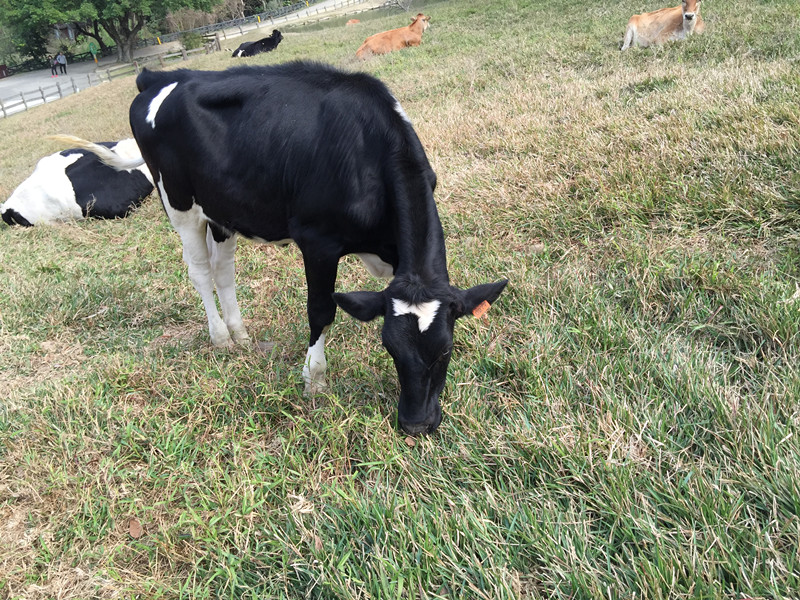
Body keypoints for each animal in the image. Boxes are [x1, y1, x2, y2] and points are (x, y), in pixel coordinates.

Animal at [59, 62, 507, 435]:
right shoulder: (318, 242)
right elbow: (321, 311)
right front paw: (314, 379)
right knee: (200, 271)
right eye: (390, 347)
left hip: (223, 210)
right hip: (179, 203)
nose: (416, 424)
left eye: (446, 349)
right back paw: (221, 338)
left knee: (223, 271)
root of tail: (160, 75)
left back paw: (240, 335)